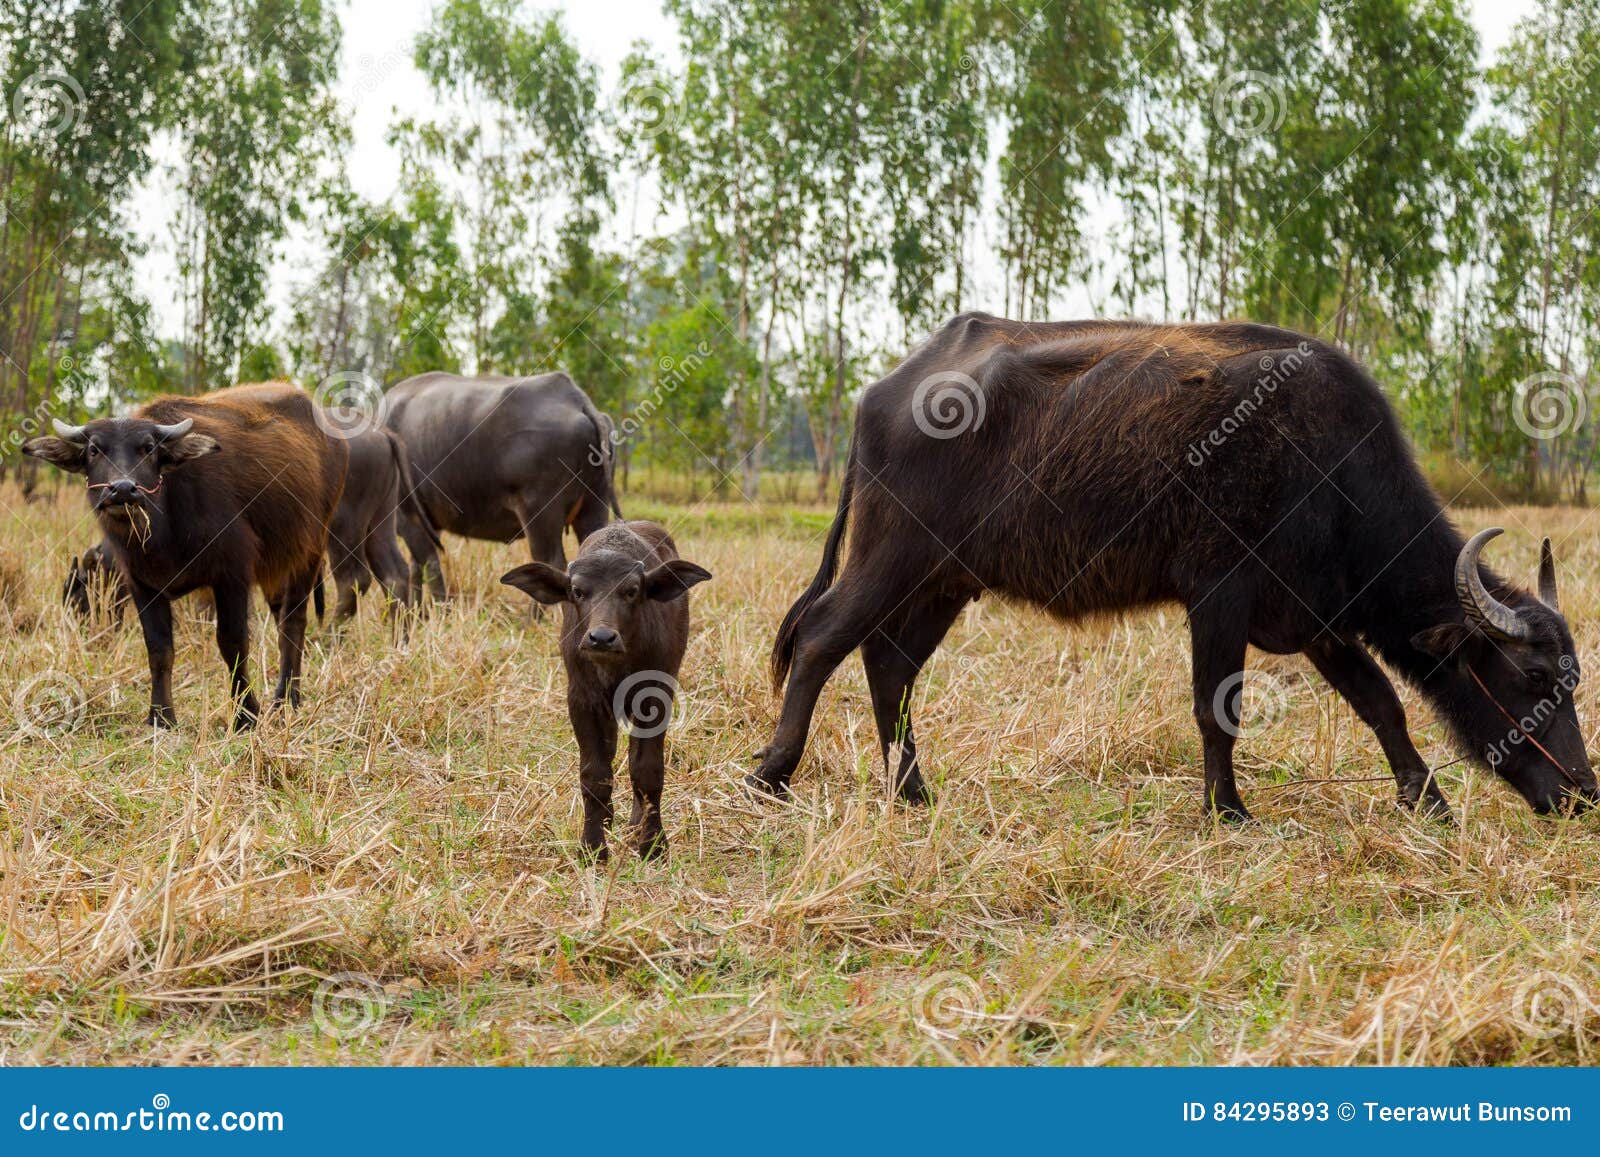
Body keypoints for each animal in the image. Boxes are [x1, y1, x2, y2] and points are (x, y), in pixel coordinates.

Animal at [25, 382, 348, 729]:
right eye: (94, 449)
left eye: (148, 448)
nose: (122, 489)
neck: (163, 529)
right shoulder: (142, 585)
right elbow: (159, 648)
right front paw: (160, 716)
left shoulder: (232, 574)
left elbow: (233, 643)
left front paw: (246, 714)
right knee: (280, 617)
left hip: (310, 550)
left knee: (293, 622)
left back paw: (286, 698)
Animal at [383, 371, 621, 599]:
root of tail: (576, 399)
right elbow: (416, 570)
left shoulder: (409, 519)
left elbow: (428, 568)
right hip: (594, 505)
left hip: (540, 514)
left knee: (550, 564)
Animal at [501, 521, 711, 861]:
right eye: (578, 591)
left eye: (631, 591)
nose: (601, 637)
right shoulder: (582, 701)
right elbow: (595, 773)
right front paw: (593, 845)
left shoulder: (654, 698)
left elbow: (647, 769)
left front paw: (653, 843)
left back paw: (636, 823)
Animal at [749, 314, 1598, 821]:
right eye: (1531, 679)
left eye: (1571, 681)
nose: (1583, 792)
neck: (1328, 469)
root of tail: (883, 393)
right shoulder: (1218, 596)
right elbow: (1216, 708)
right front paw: (1228, 809)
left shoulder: (1316, 619)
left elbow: (1381, 702)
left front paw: (1426, 799)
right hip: (890, 556)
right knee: (822, 640)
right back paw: (773, 773)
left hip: (944, 581)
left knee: (889, 663)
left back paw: (913, 790)